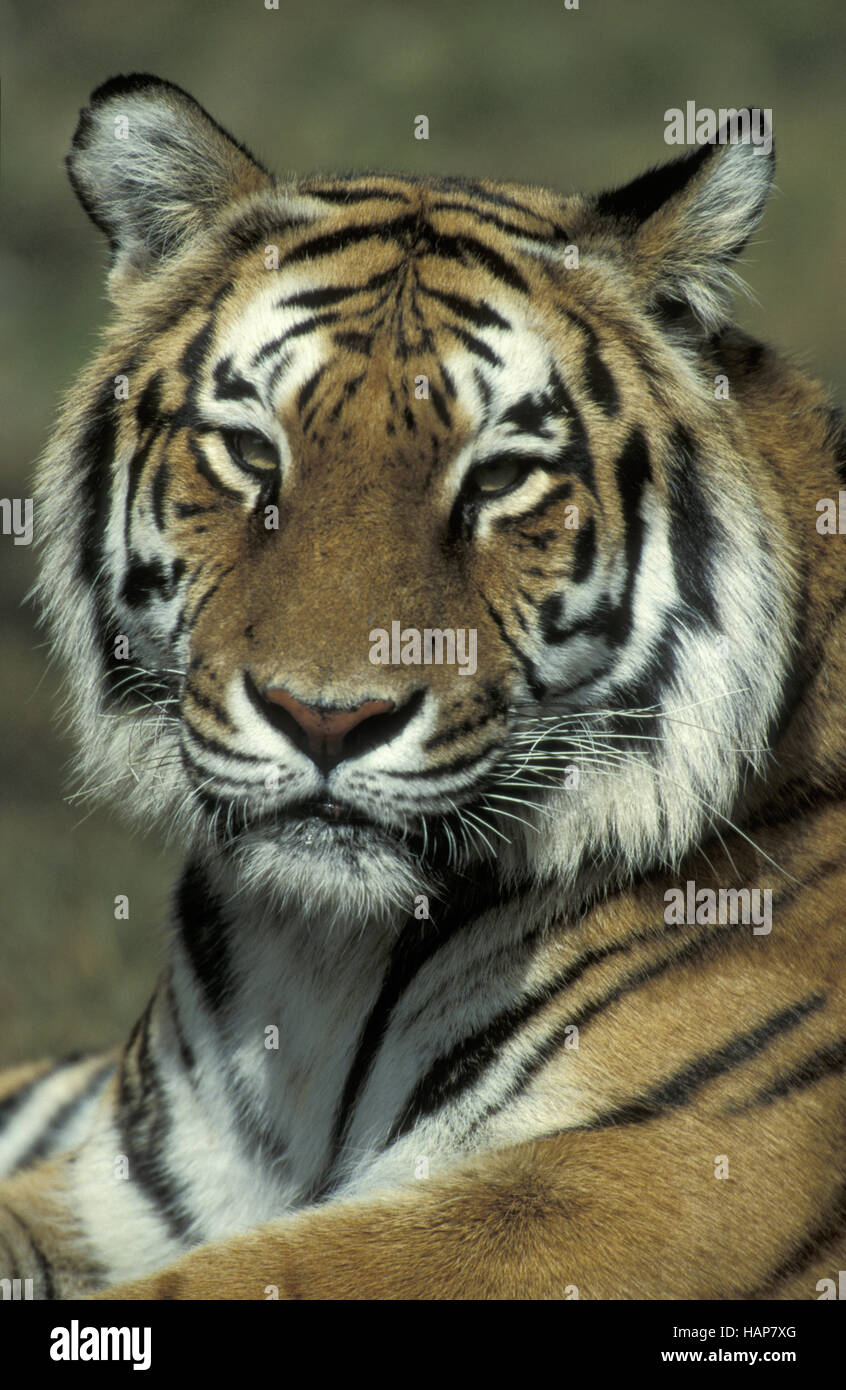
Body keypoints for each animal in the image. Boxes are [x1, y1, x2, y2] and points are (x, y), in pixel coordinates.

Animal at [1, 72, 844, 1302]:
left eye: (498, 477)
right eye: (252, 454)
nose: (326, 718)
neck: (326, 963)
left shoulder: (637, 1186)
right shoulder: (122, 1190)